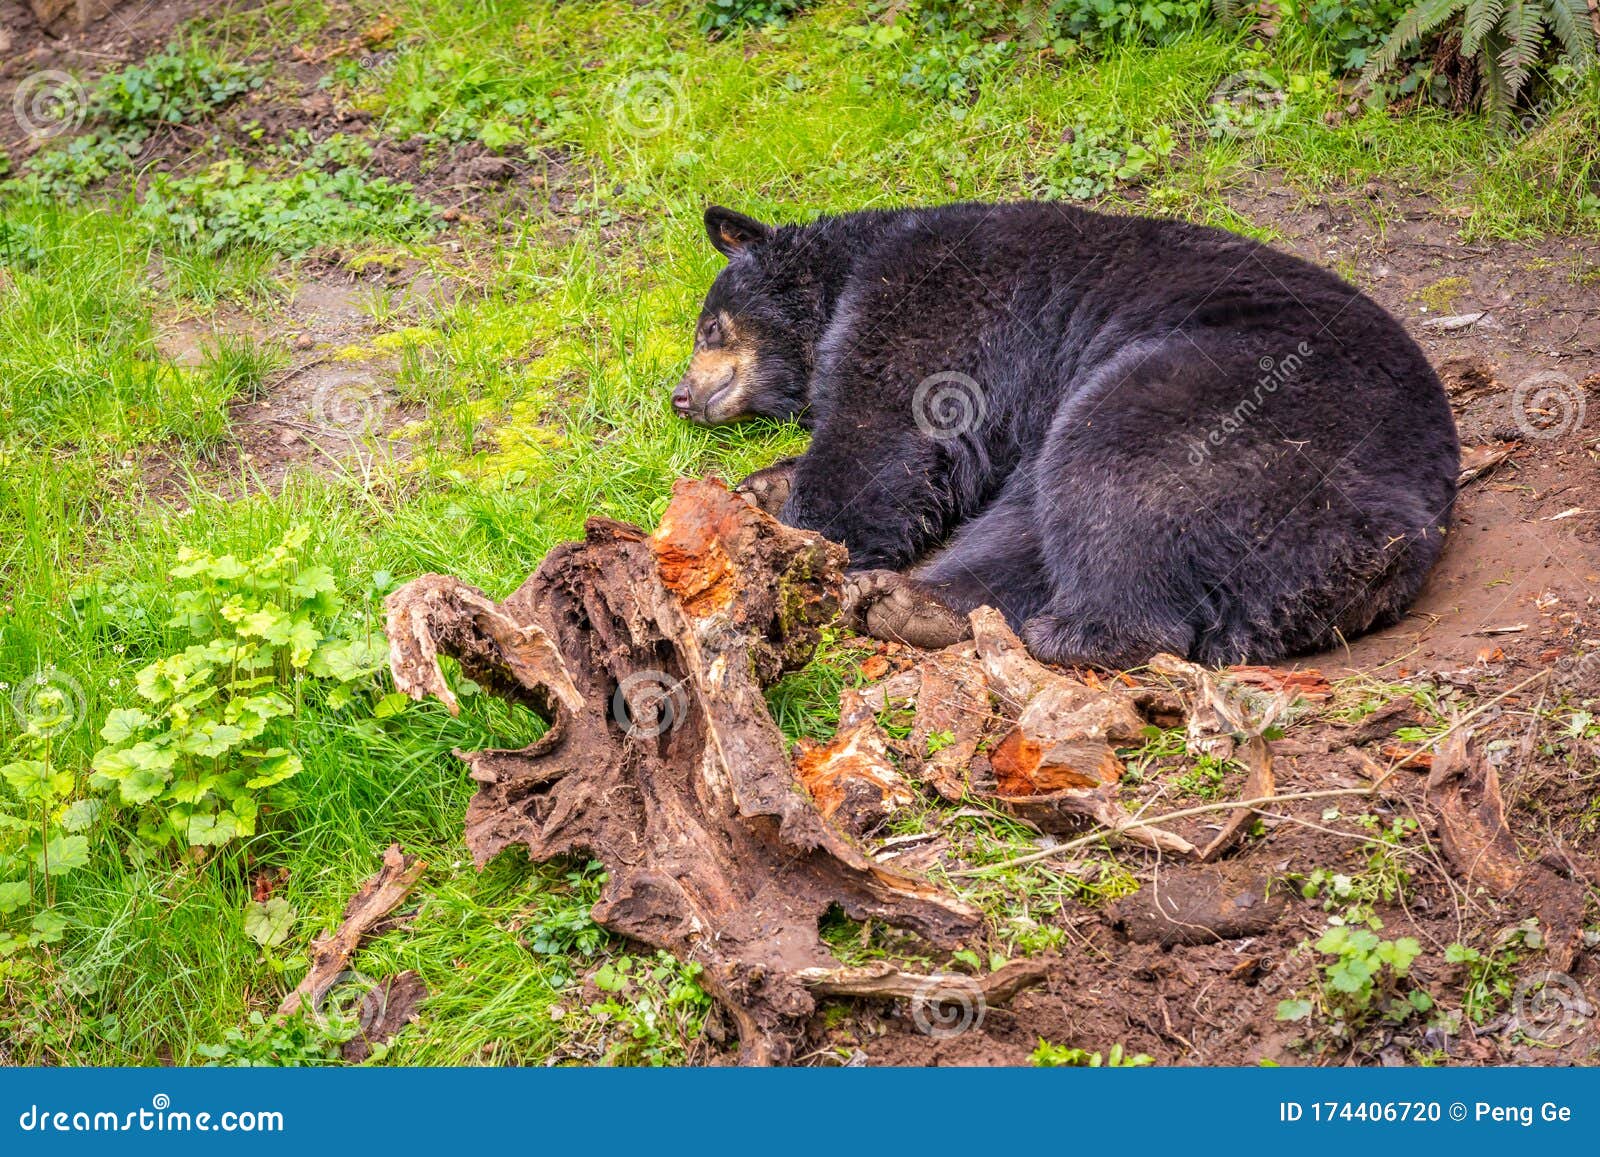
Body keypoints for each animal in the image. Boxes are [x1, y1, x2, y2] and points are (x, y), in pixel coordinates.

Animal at [674, 201, 1459, 669]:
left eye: (708, 327)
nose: (680, 397)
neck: (847, 272)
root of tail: (1379, 550)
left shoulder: (929, 303)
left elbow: (886, 425)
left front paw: (802, 545)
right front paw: (761, 489)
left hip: (1221, 400)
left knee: (1107, 483)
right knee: (1031, 521)